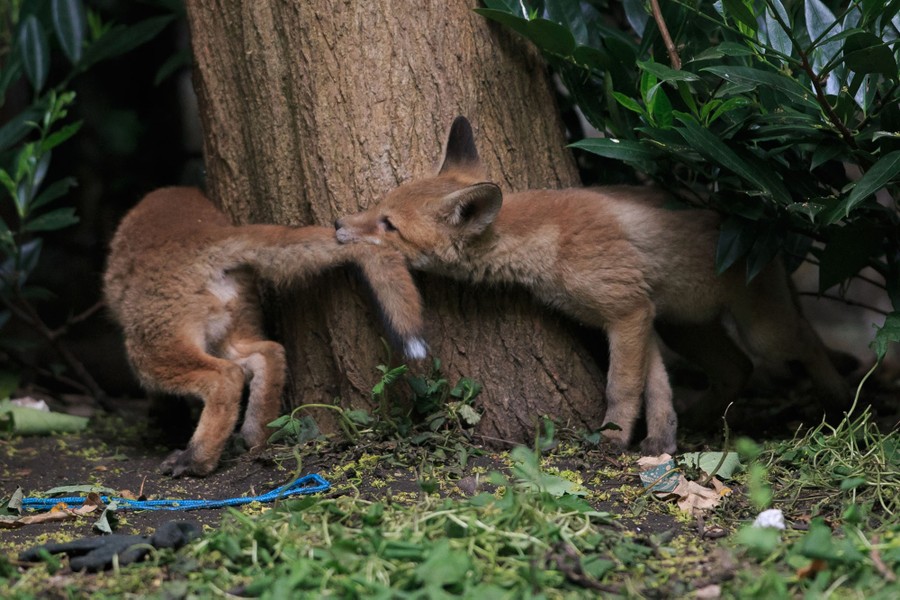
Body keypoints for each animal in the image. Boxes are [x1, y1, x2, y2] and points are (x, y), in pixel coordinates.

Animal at [104, 187, 427, 477]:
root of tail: (207, 235)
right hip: (229, 335)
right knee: (269, 353)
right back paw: (256, 435)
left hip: (149, 353)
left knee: (226, 377)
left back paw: (197, 460)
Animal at [334, 116, 850, 455]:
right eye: (377, 206)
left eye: (389, 225)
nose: (338, 224)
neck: (549, 241)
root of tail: (763, 225)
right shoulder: (642, 315)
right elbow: (655, 388)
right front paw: (661, 441)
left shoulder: (627, 313)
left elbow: (621, 387)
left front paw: (613, 438)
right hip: (686, 326)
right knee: (736, 368)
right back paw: (704, 418)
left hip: (764, 331)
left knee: (803, 343)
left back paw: (844, 404)